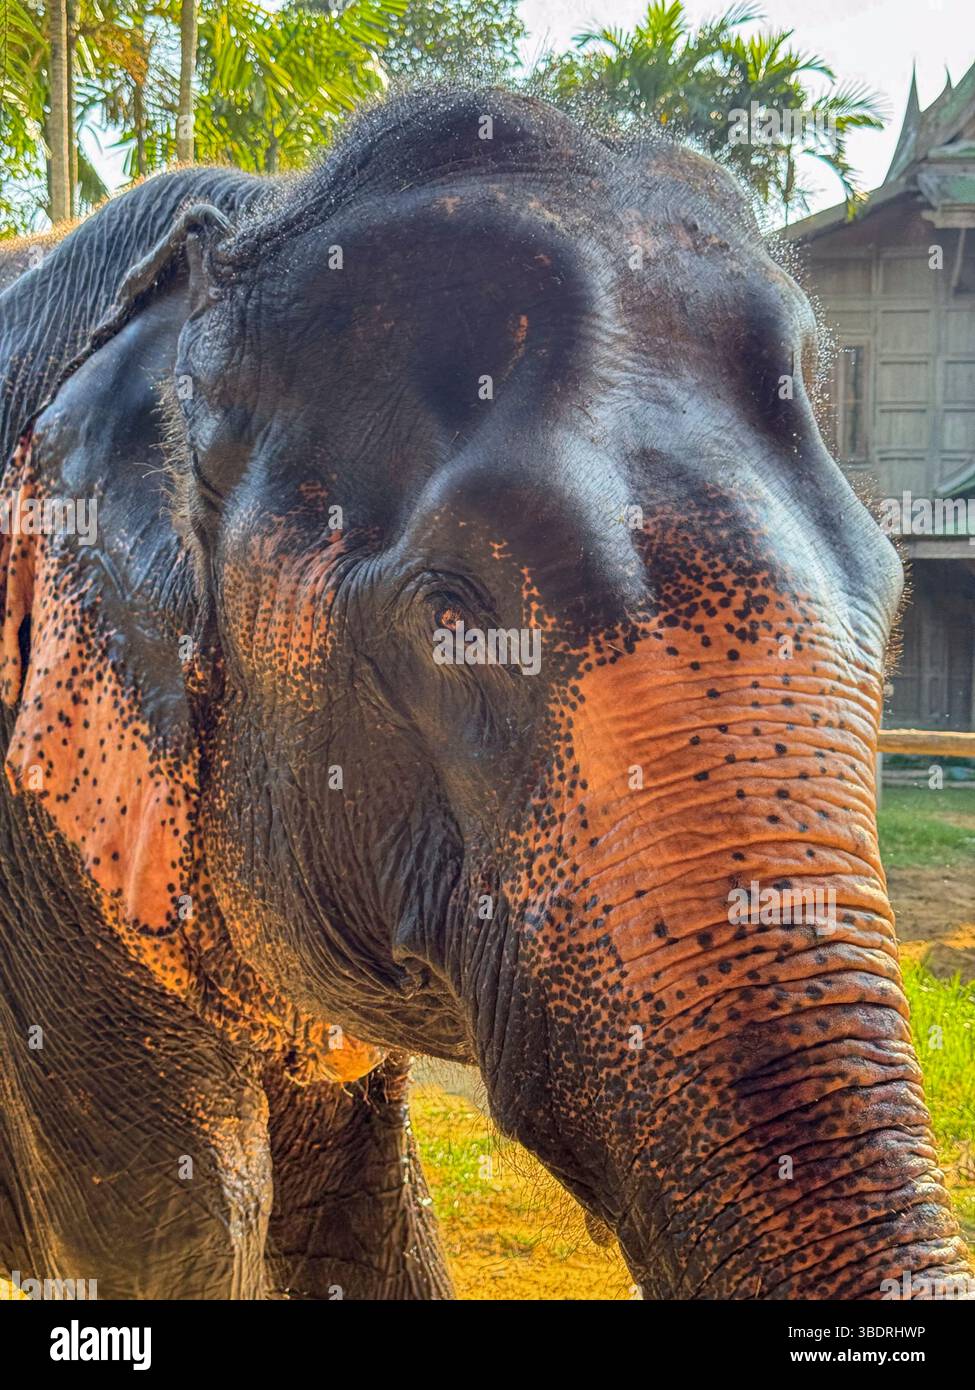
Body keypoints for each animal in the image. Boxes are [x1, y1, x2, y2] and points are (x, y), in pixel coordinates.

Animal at [0, 87, 971, 1301]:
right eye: (452, 620)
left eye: (889, 609)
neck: (241, 226)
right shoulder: (47, 893)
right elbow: (176, 1240)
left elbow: (361, 1224)